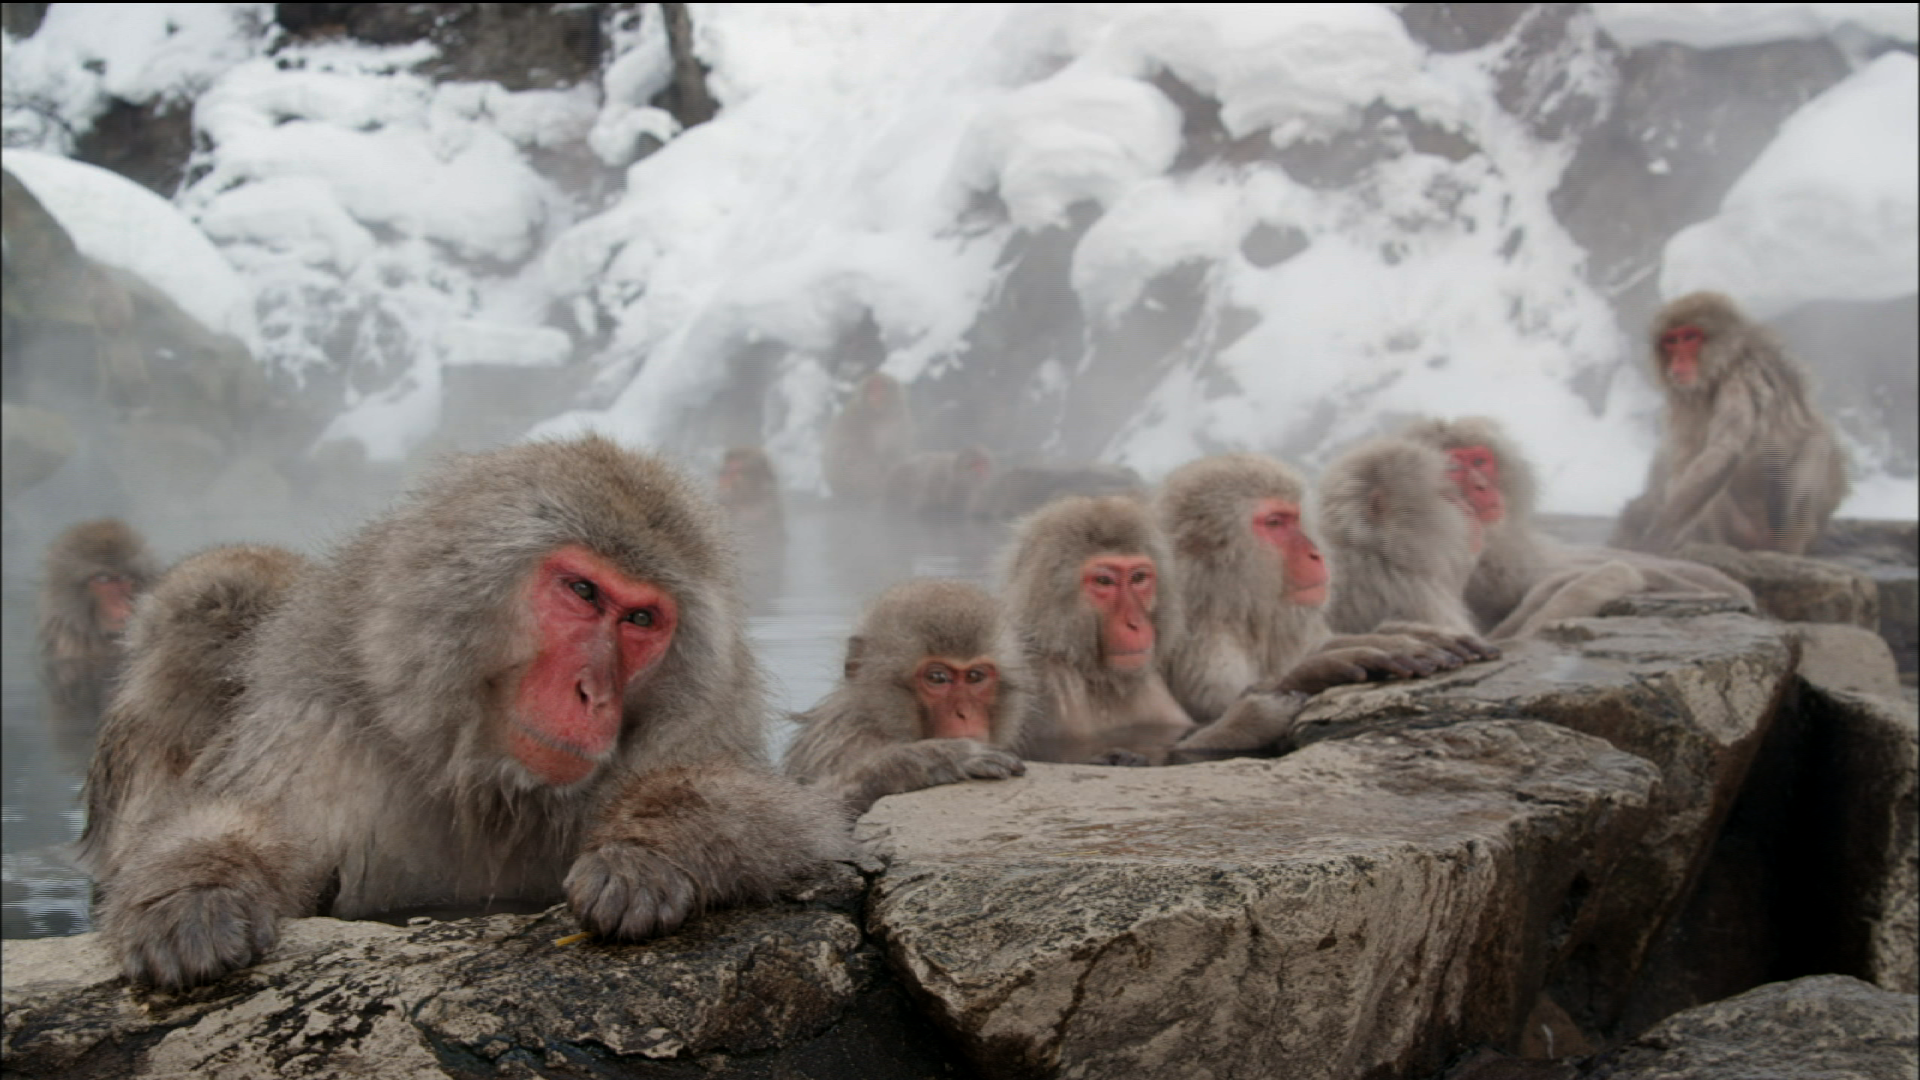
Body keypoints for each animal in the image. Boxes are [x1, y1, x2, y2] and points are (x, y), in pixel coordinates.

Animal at [822, 372, 915, 504]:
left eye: (880, 387)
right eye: (871, 389)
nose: (875, 394)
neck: (880, 416)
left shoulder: (900, 419)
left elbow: (896, 452)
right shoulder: (855, 417)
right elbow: (846, 449)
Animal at [1611, 291, 1849, 556]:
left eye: (1690, 337)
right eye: (1671, 341)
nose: (1679, 360)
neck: (1729, 359)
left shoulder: (1739, 380)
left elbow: (1723, 453)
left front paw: (1655, 537)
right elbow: (1683, 458)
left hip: (1758, 531)